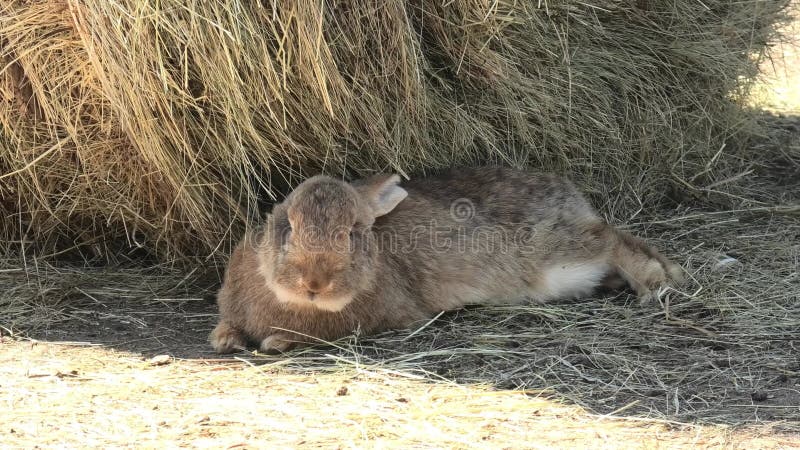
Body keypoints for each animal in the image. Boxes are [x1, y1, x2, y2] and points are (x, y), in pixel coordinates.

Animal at [210, 166, 684, 353]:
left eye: (354, 232)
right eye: (286, 225)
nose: (315, 282)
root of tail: (573, 199)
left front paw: (277, 342)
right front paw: (224, 339)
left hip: (558, 258)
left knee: (612, 239)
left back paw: (655, 282)